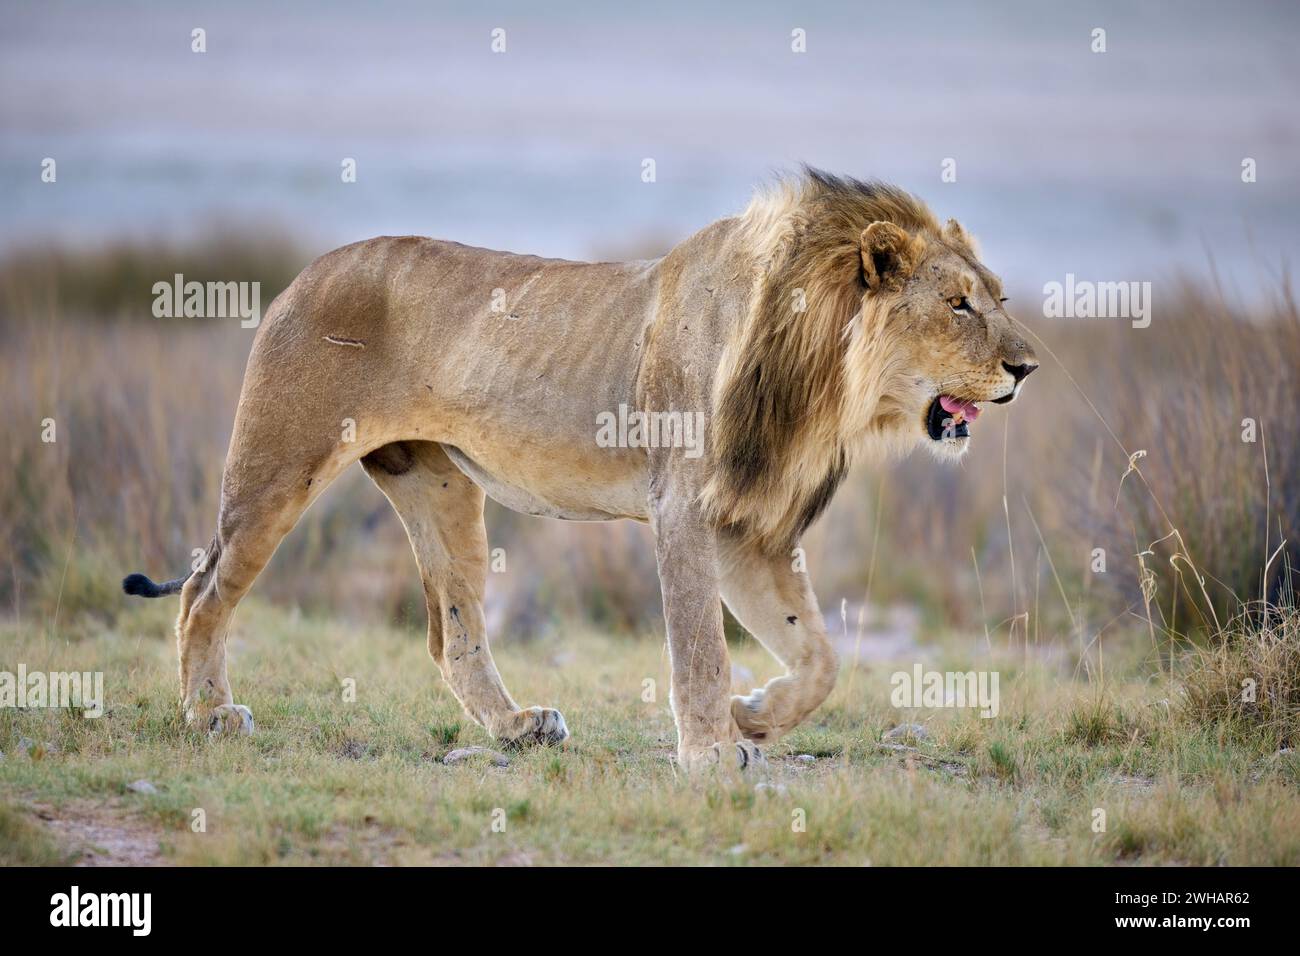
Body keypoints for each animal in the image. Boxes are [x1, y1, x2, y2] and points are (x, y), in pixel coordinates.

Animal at [123, 168, 1037, 771]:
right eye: (957, 304)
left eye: (996, 296)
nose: (1027, 368)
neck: (822, 378)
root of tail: (302, 272)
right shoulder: (685, 508)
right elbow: (700, 648)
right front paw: (712, 752)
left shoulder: (748, 532)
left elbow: (818, 658)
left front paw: (753, 720)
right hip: (278, 467)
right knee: (204, 593)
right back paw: (209, 716)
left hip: (438, 485)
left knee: (452, 632)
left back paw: (518, 728)